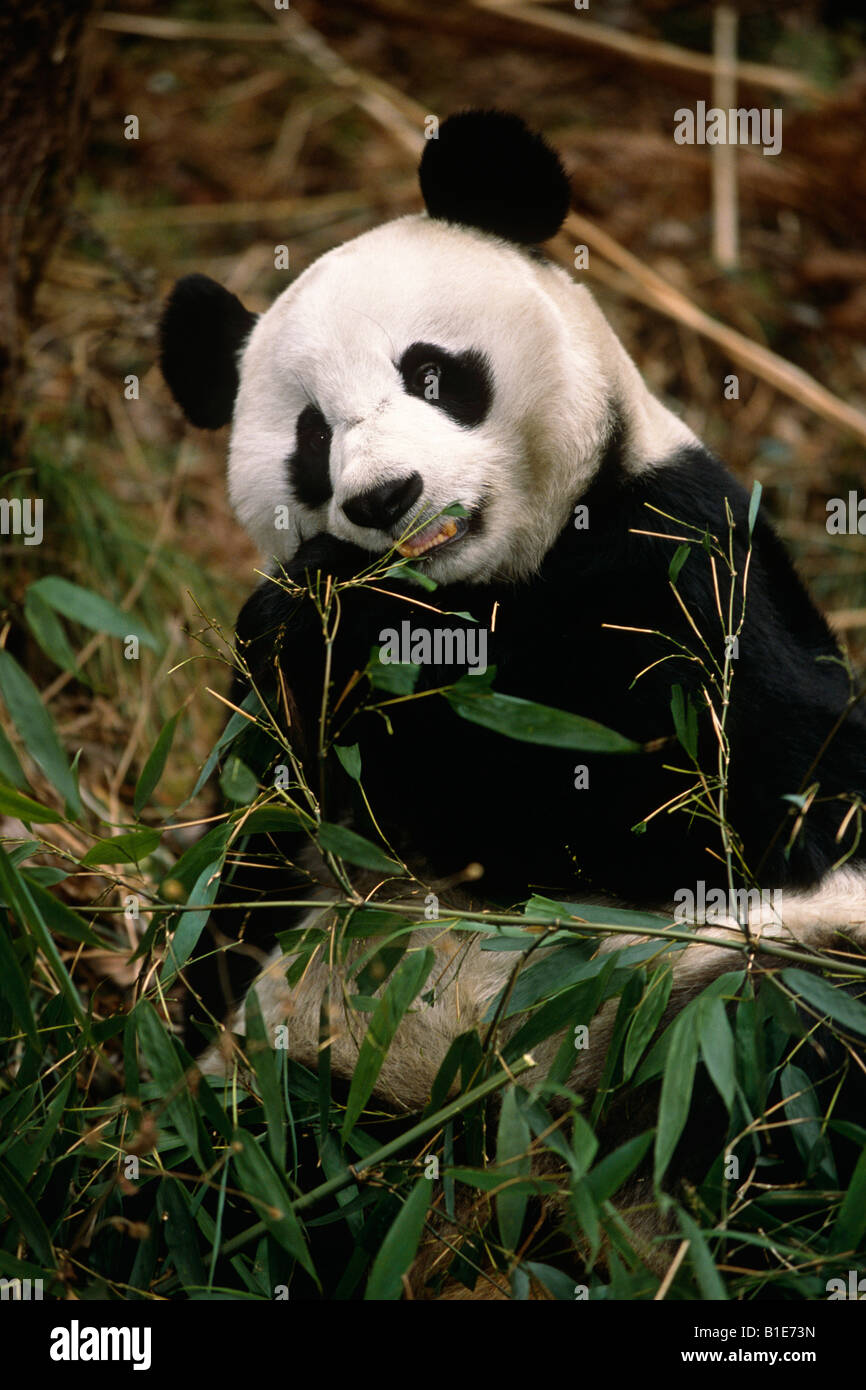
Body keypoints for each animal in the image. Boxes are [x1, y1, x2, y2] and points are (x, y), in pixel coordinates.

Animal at [159, 110, 866, 1289]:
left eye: (431, 373)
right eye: (310, 439)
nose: (383, 497)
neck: (469, 599)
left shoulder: (678, 559)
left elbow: (748, 797)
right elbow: (249, 861)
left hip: (737, 995)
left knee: (774, 1041)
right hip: (308, 1073)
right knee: (262, 1165)